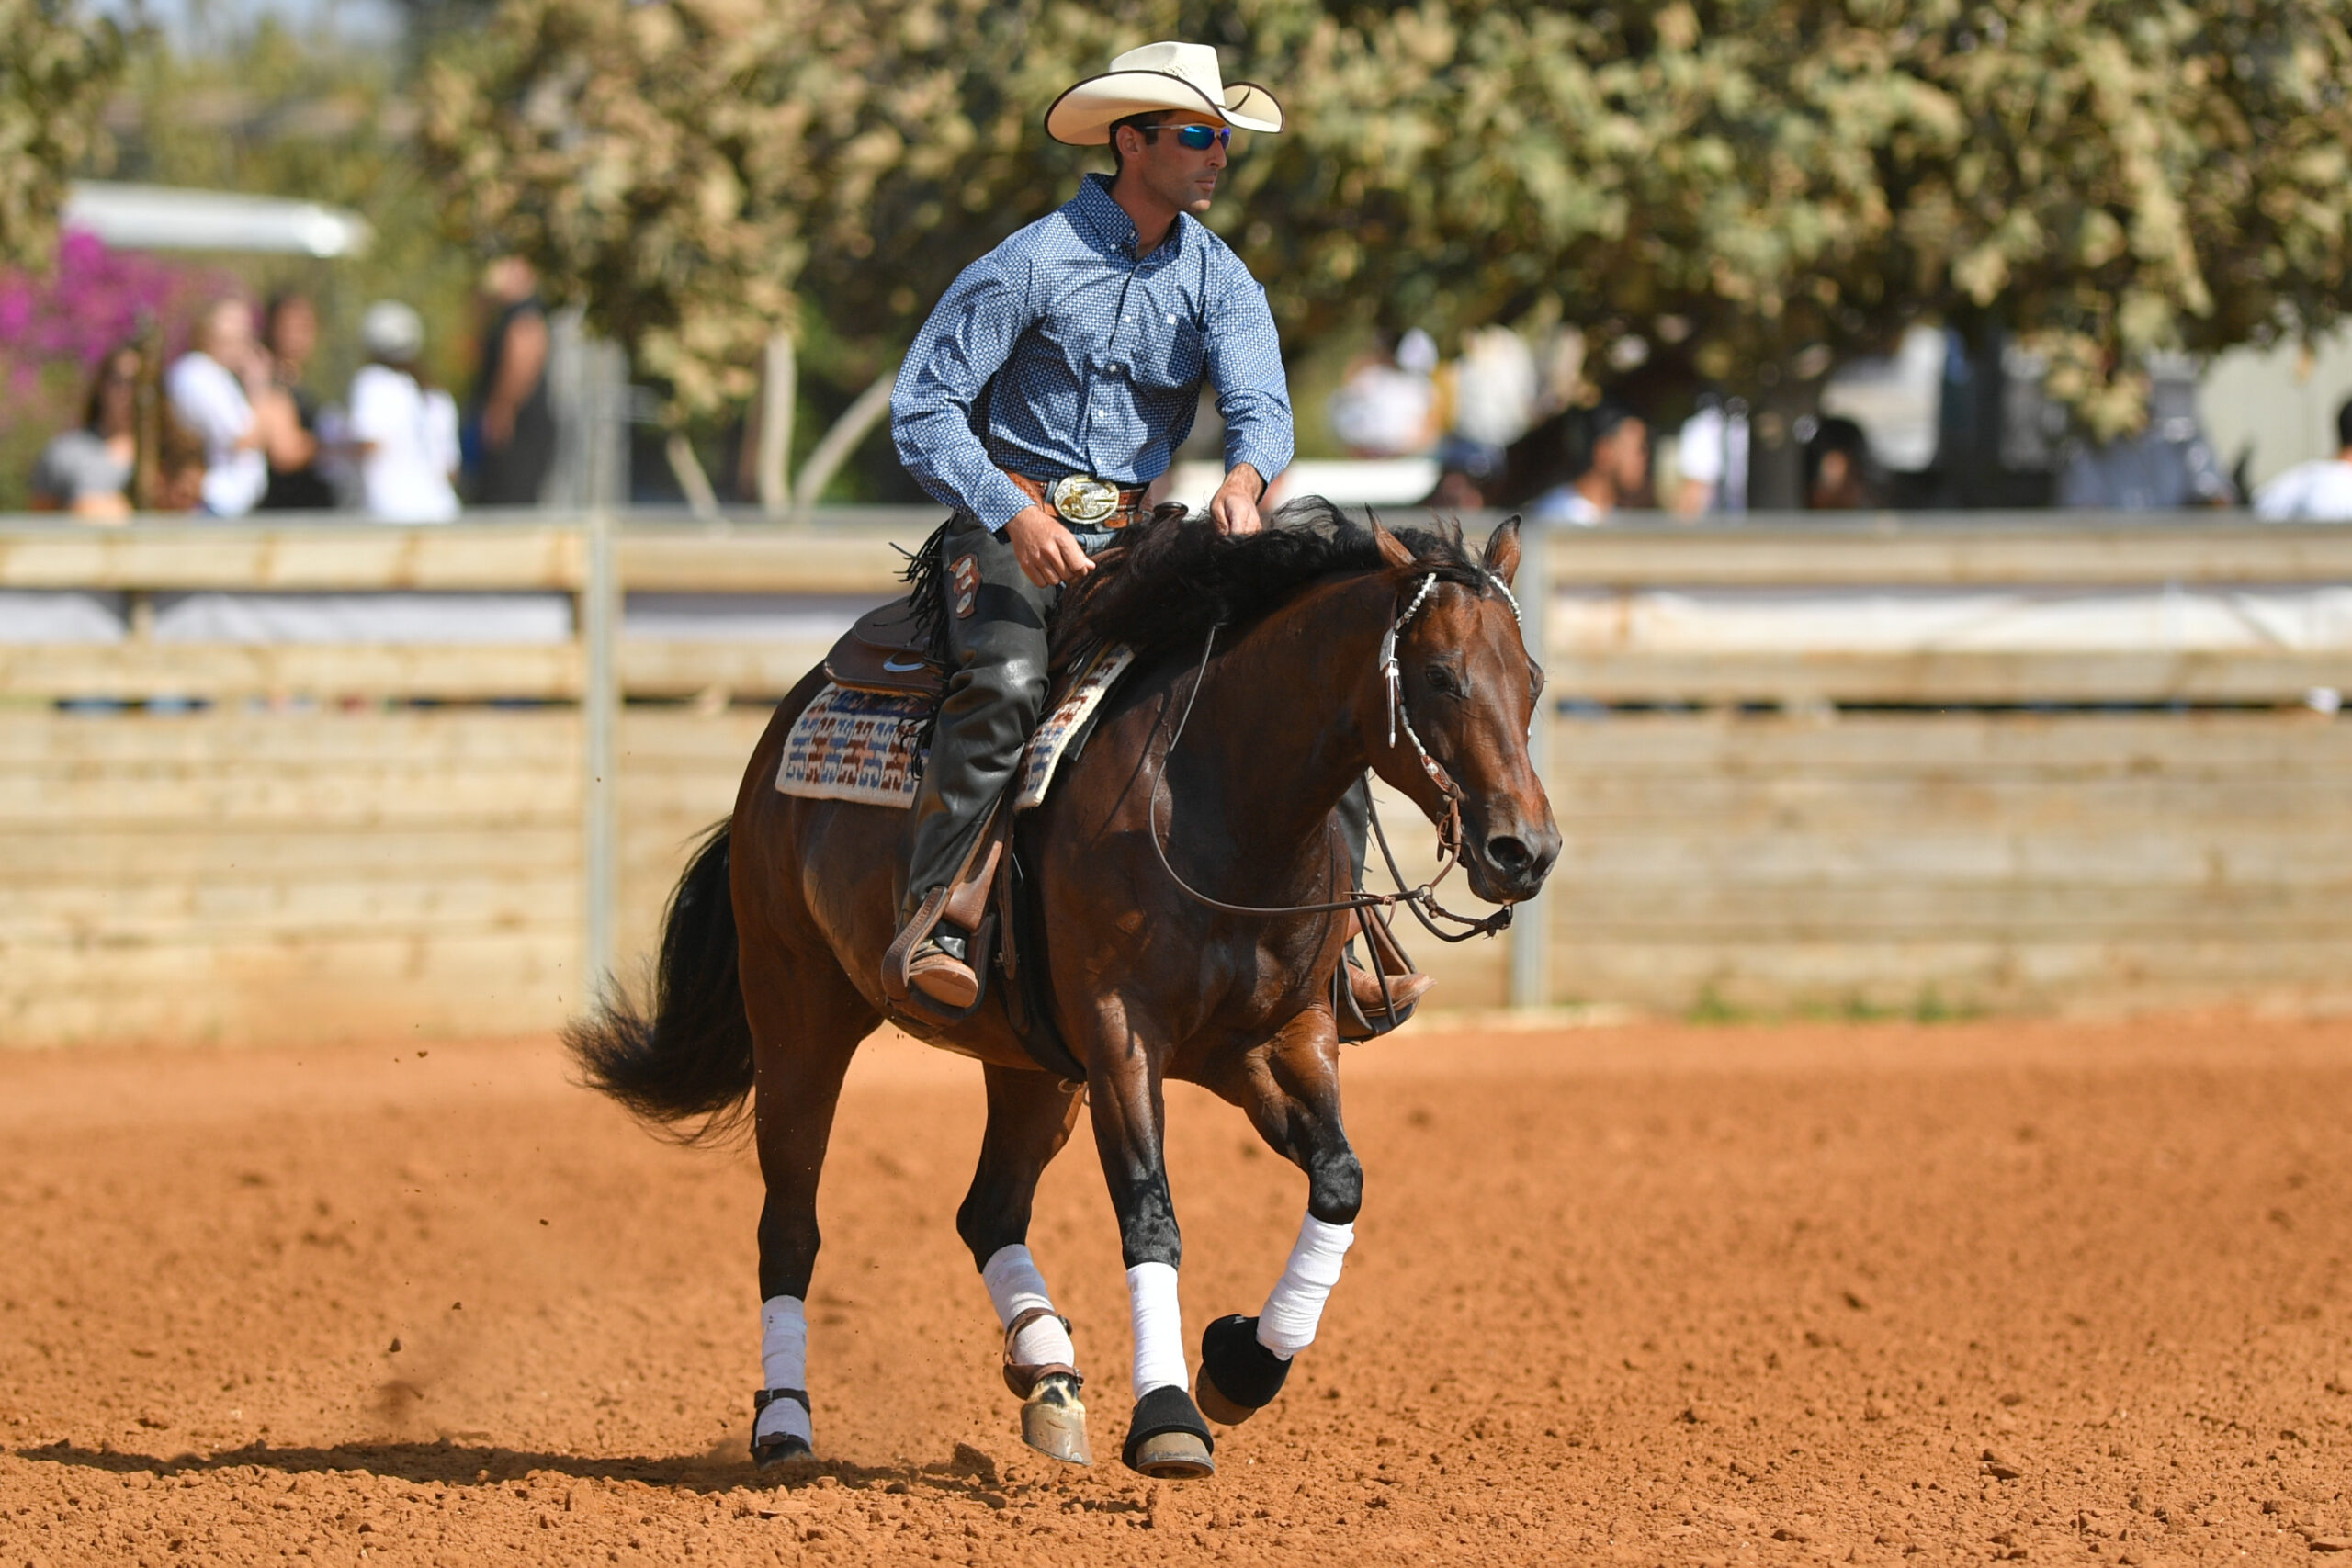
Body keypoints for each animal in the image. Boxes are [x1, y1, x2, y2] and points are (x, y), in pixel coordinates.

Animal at [565, 502, 1559, 1480]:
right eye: (1439, 676)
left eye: (1534, 681)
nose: (1526, 850)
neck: (1215, 799)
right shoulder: (1124, 1039)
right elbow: (1150, 1214)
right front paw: (1168, 1416)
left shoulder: (1280, 1037)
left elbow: (1340, 1181)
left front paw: (1243, 1363)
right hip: (796, 1011)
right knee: (790, 1228)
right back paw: (784, 1424)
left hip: (1031, 1064)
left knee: (988, 1210)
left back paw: (1046, 1368)